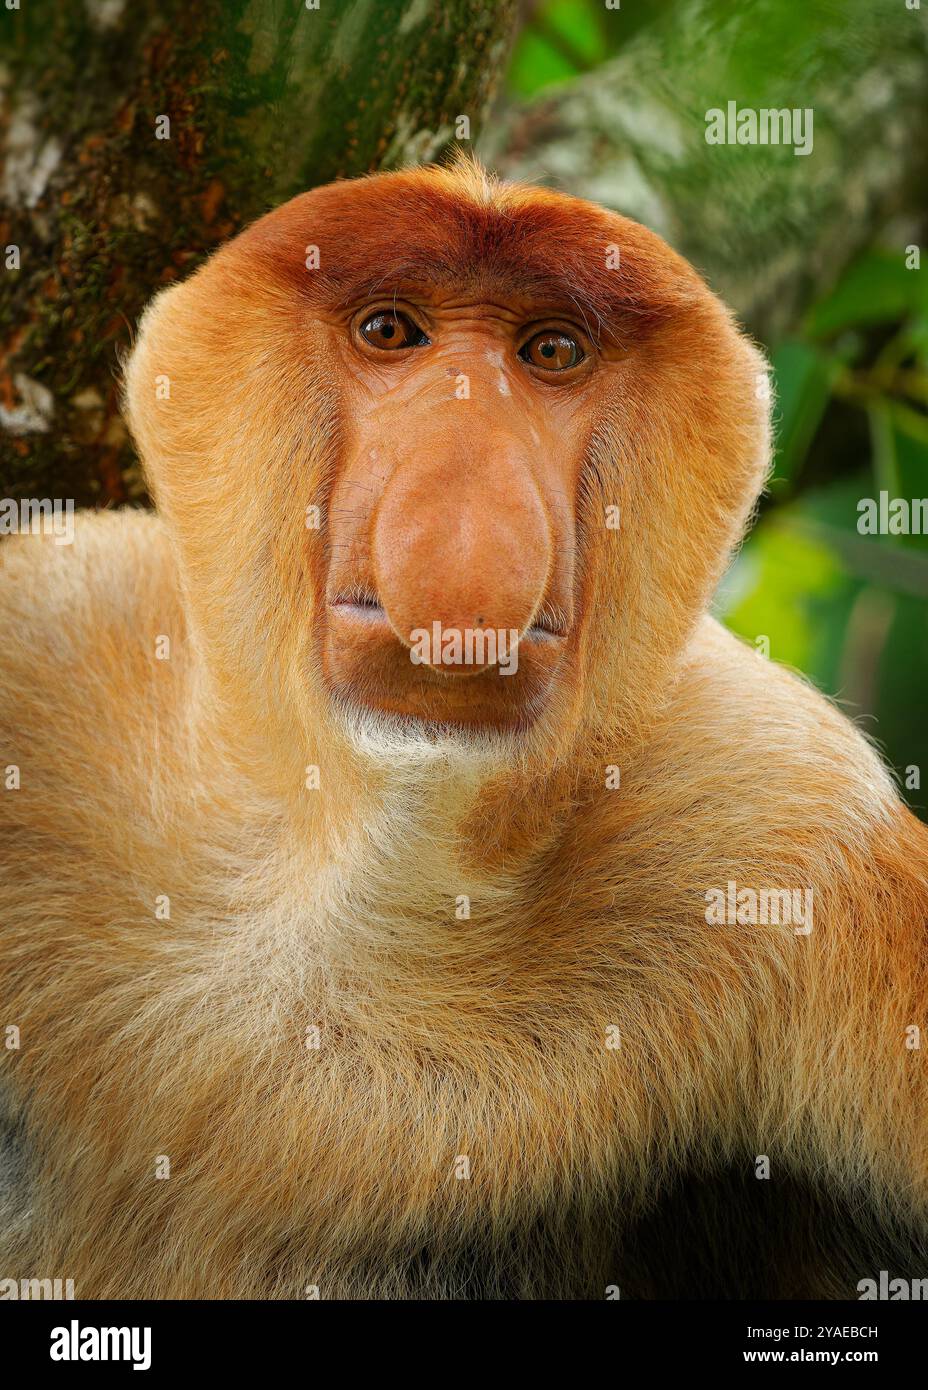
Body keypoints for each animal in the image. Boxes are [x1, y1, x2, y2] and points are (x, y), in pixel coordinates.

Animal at [0, 155, 925, 1300]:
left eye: (552, 352)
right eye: (391, 330)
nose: (467, 498)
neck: (353, 859)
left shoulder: (789, 822)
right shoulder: (50, 642)